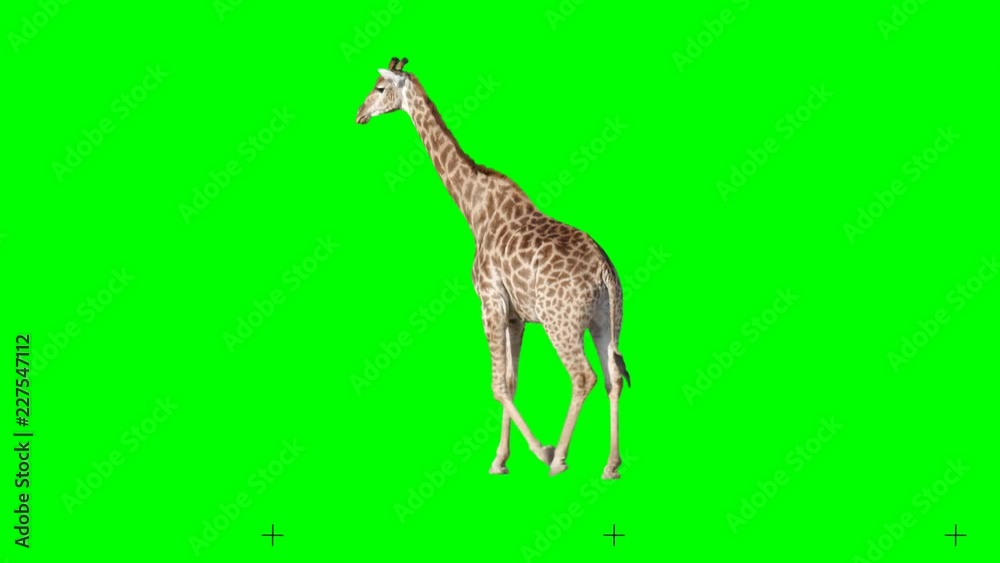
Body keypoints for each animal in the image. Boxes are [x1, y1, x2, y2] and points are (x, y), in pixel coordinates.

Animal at [356, 57, 632, 479]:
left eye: (380, 88)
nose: (360, 115)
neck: (474, 209)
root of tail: (605, 268)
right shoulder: (516, 315)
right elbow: (511, 380)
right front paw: (501, 460)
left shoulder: (489, 302)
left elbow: (497, 385)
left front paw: (540, 452)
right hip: (604, 317)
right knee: (613, 376)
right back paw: (611, 465)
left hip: (561, 320)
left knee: (583, 376)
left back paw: (559, 460)